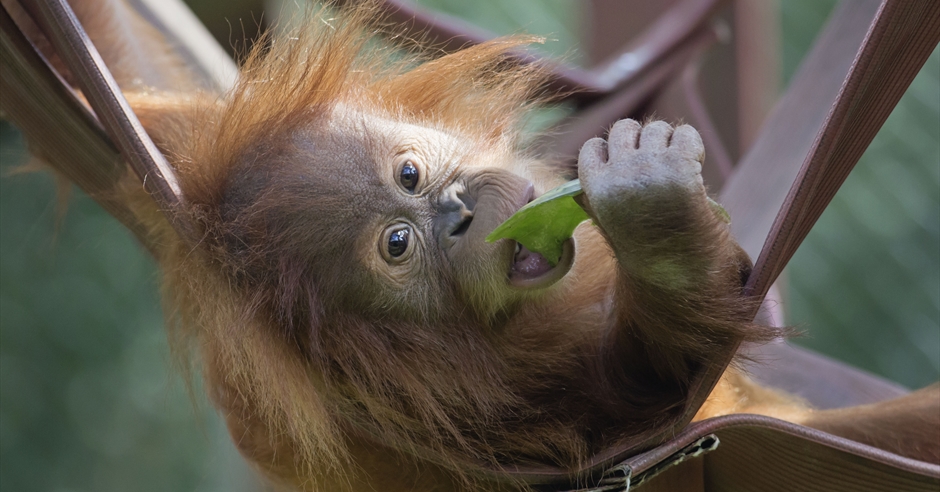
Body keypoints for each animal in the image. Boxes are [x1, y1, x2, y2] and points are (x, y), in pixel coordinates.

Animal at [4, 1, 937, 491]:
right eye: (398, 245)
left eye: (410, 174)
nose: (454, 214)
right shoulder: (453, 409)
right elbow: (639, 389)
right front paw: (660, 232)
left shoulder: (186, 156)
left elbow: (135, 75)